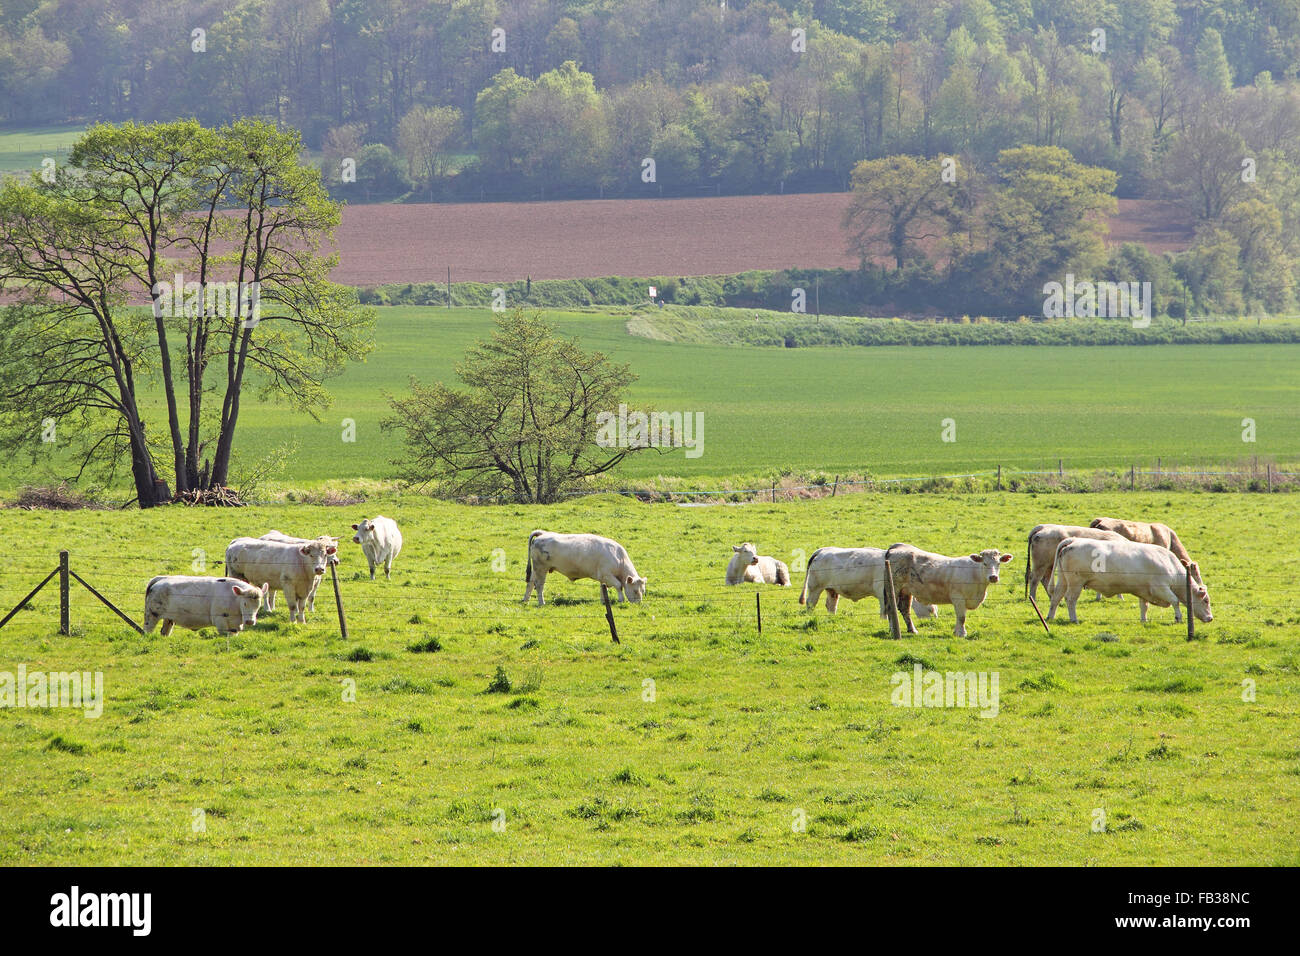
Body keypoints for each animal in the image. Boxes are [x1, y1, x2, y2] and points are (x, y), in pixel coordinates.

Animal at [799, 546, 937, 620]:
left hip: (832, 589)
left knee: (831, 604)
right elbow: (884, 611)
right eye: (930, 609)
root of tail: (823, 550)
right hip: (815, 587)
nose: (933, 622)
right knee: (811, 603)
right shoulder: (883, 594)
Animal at [885, 544, 1013, 638]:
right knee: (892, 608)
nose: (993, 577)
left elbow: (960, 617)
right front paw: (961, 633)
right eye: (985, 563)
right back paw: (893, 630)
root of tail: (898, 546)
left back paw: (912, 630)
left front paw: (956, 632)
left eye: (998, 563)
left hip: (906, 591)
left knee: (905, 609)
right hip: (894, 588)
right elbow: (961, 617)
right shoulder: (958, 597)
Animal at [1048, 536, 1212, 624]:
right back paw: (1073, 619)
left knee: (1056, 597)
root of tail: (1073, 540)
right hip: (1076, 583)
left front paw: (1144, 620)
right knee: (1070, 600)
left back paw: (1050, 617)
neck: (1170, 565)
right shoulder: (1160, 588)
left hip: (1063, 580)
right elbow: (1175, 601)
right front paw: (1178, 617)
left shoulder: (1144, 591)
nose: (1210, 618)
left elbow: (1144, 606)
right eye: (1205, 601)